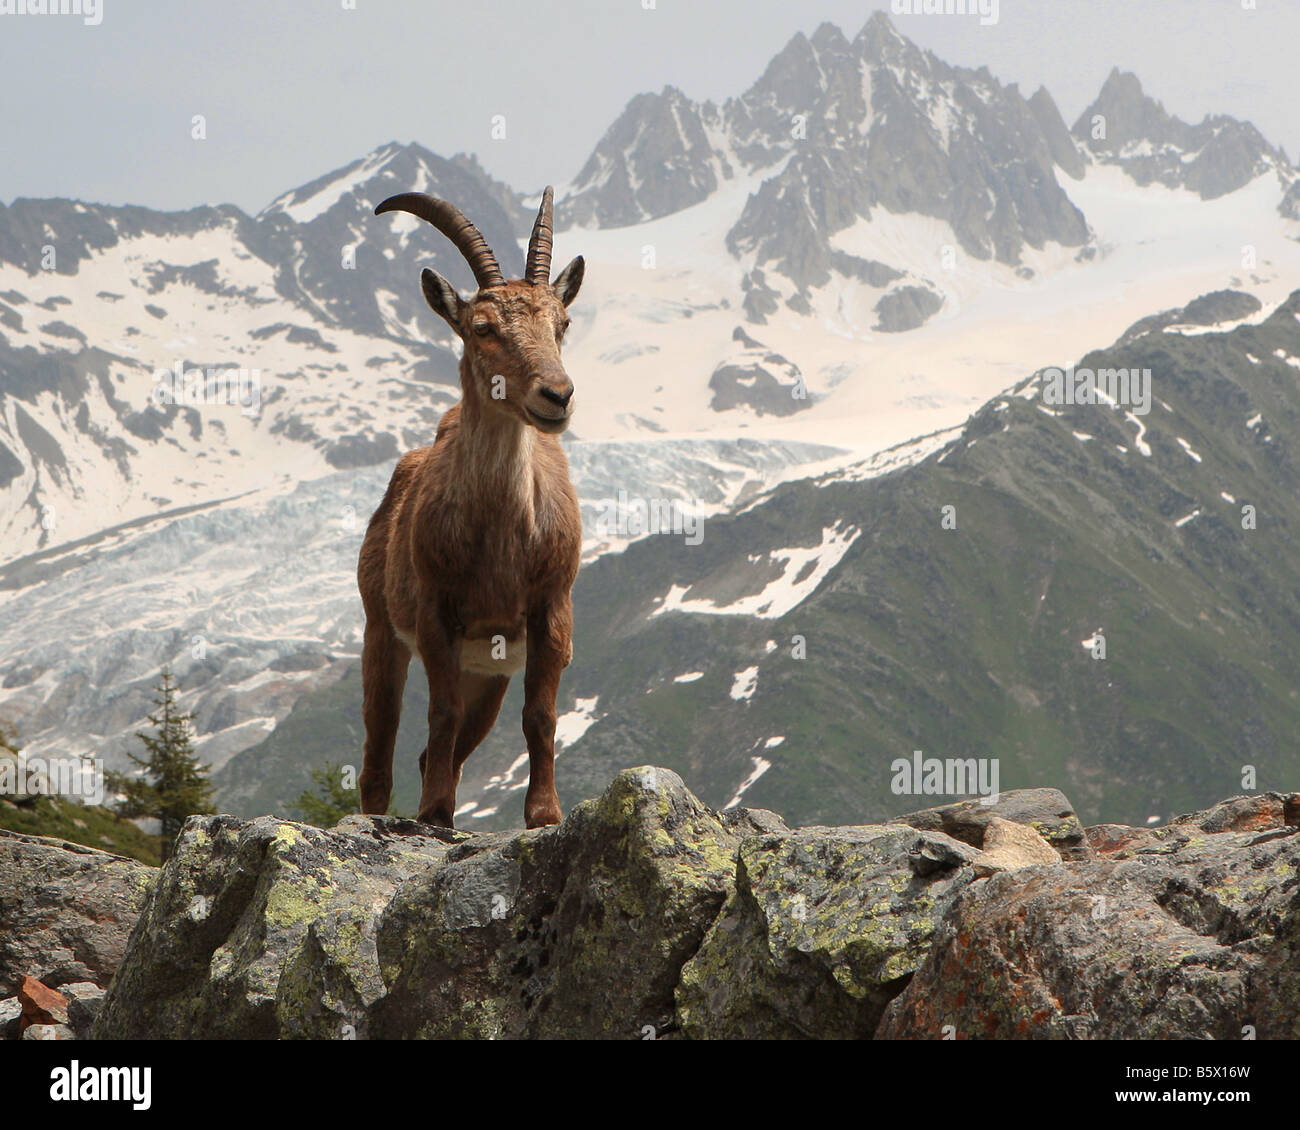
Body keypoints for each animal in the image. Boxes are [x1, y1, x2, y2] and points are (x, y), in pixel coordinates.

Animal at [358, 187, 584, 829]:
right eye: (482, 326)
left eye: (561, 322)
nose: (557, 395)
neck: (504, 537)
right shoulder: (437, 613)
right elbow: (441, 712)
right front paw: (434, 813)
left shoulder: (549, 611)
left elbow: (540, 716)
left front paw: (544, 814)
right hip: (381, 632)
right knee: (380, 753)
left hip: (487, 672)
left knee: (440, 749)